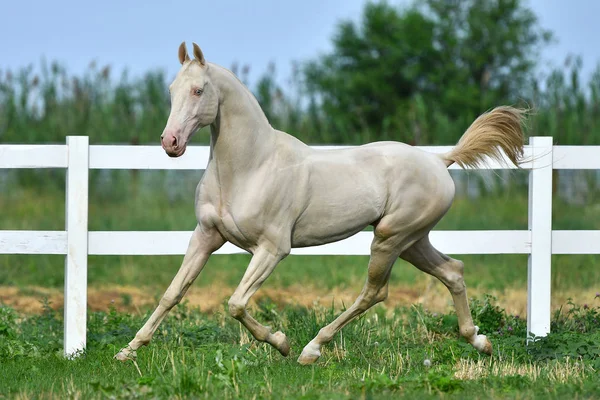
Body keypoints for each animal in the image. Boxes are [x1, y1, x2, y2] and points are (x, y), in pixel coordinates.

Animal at [113, 42, 524, 364]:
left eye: (199, 90)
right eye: (171, 90)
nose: (171, 143)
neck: (251, 167)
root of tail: (440, 160)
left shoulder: (272, 248)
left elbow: (236, 303)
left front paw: (281, 343)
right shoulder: (206, 236)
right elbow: (172, 293)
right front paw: (128, 351)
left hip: (391, 238)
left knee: (376, 291)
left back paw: (311, 349)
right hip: (411, 241)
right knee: (453, 270)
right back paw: (480, 341)